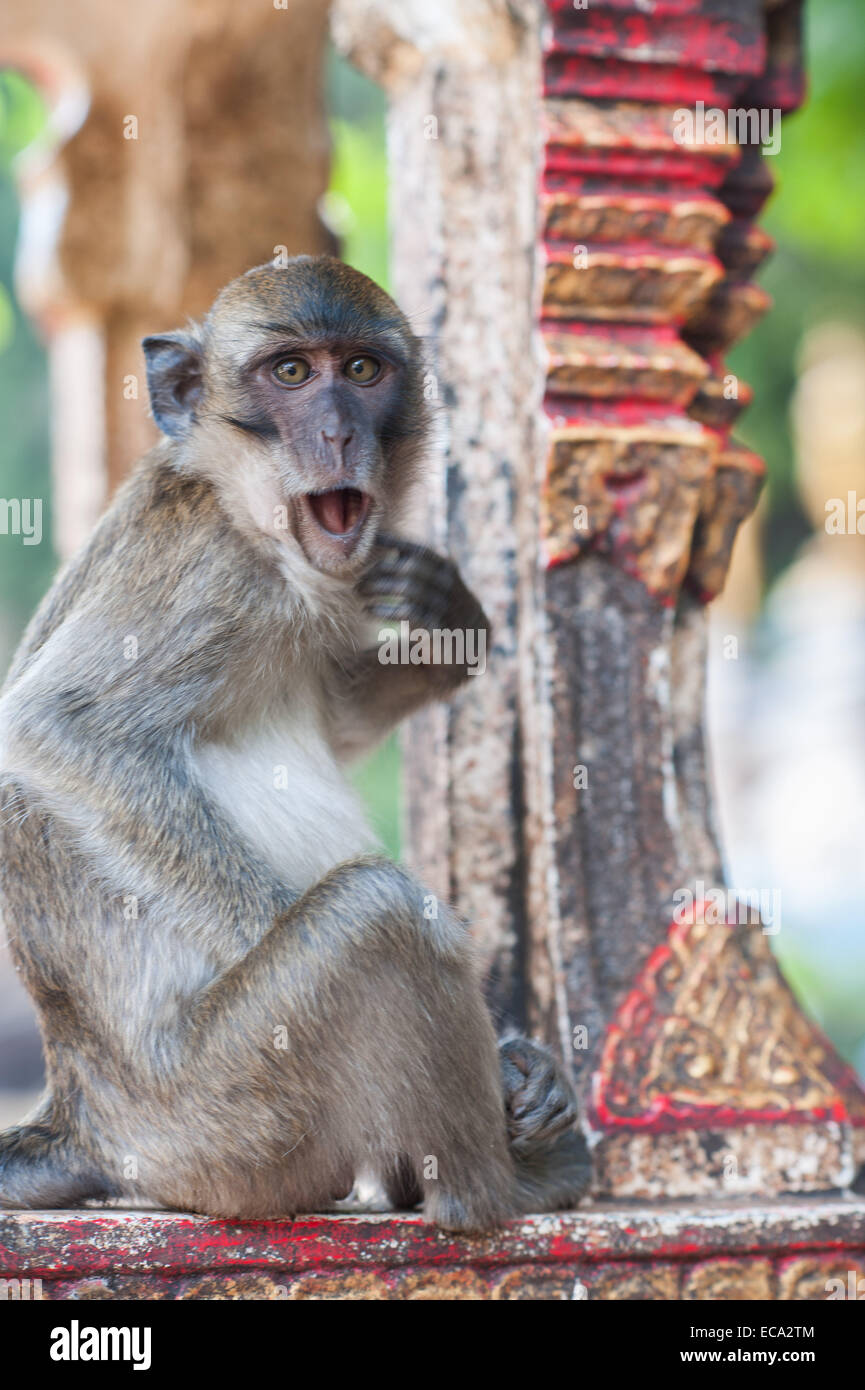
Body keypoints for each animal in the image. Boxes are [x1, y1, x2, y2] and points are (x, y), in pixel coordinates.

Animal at [0, 257, 590, 1230]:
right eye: (289, 373)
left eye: (360, 371)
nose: (336, 431)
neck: (248, 514)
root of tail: (86, 1121)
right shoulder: (208, 572)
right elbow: (55, 729)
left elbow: (335, 719)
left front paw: (448, 626)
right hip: (229, 1118)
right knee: (379, 914)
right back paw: (496, 1190)